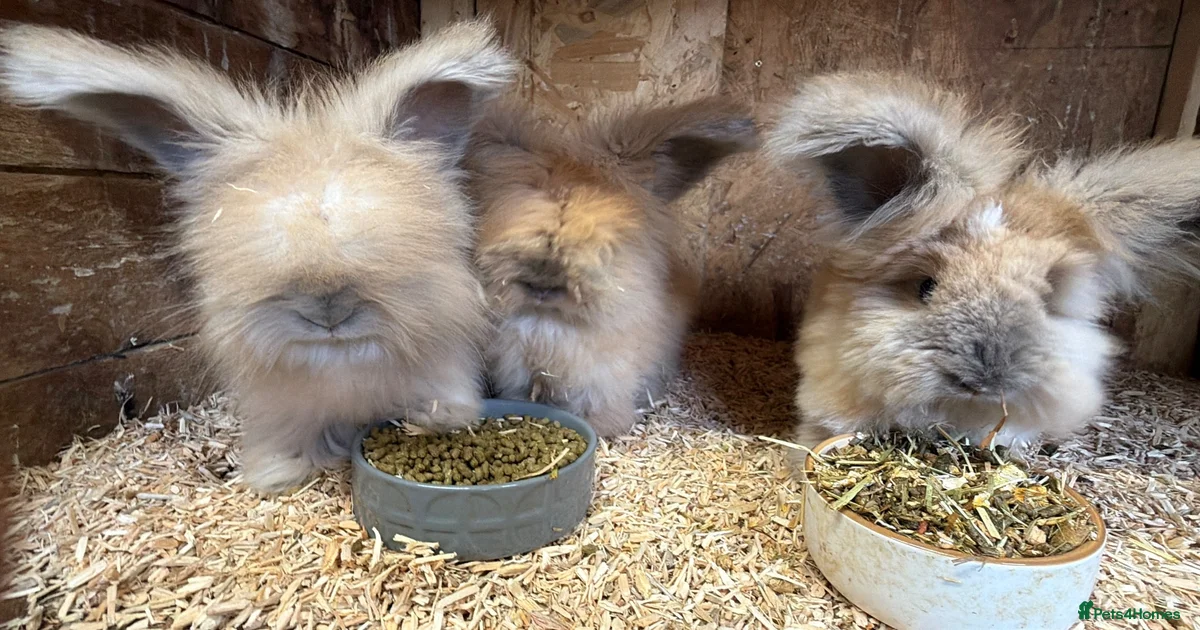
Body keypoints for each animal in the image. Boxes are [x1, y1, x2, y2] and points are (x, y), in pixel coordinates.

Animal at [0, 20, 517, 493]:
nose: (327, 314)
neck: (340, 361)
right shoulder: (284, 411)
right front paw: (277, 475)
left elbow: (442, 405)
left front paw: (437, 422)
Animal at [466, 97, 756, 436]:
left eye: (610, 236)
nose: (543, 282)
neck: (548, 320)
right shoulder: (518, 373)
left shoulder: (605, 378)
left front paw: (606, 428)